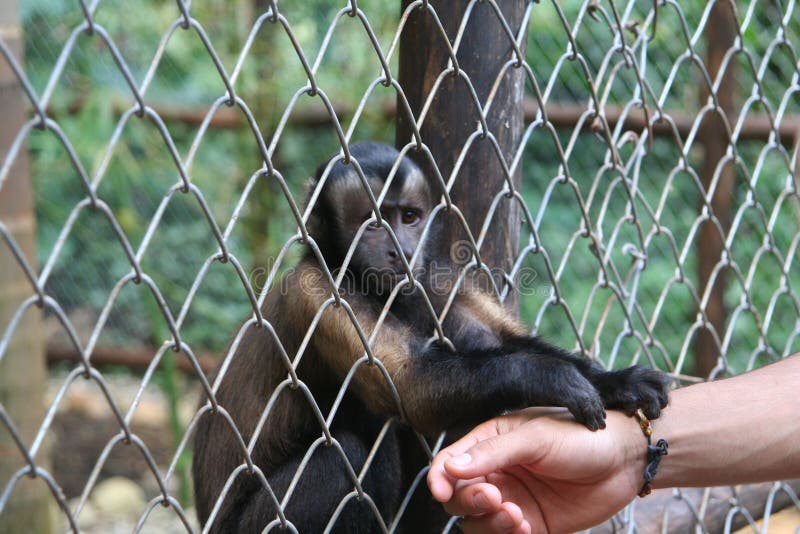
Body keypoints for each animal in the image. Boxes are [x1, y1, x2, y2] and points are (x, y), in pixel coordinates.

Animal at [192, 141, 670, 533]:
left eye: (409, 217)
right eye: (372, 224)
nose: (401, 250)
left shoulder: (434, 273)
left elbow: (496, 344)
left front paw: (616, 383)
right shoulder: (317, 292)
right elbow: (410, 387)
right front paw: (550, 378)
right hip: (252, 526)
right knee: (347, 453)